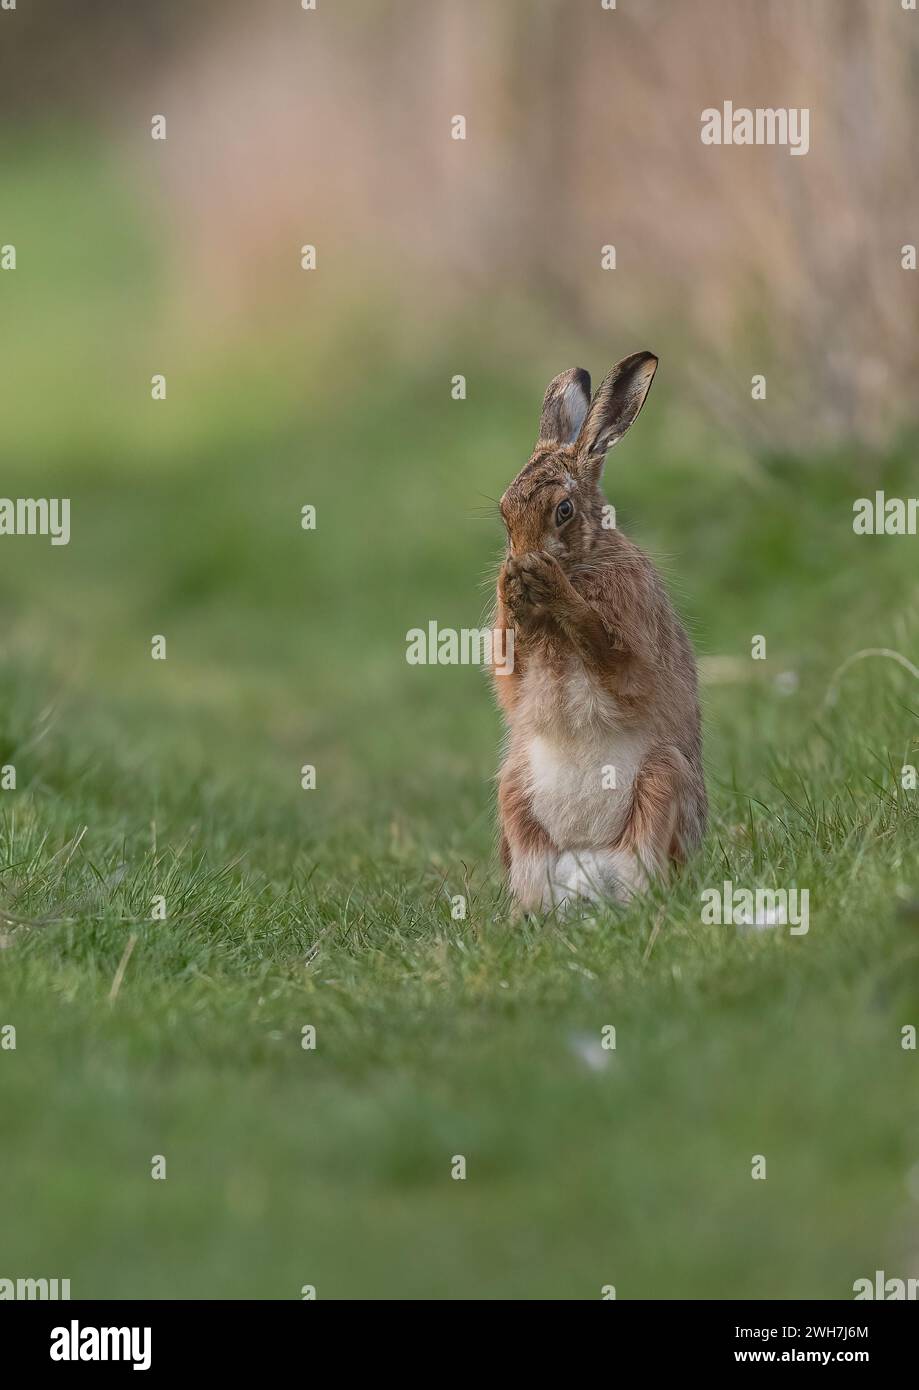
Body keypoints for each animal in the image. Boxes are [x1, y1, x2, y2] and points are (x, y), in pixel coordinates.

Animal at [492, 351, 706, 913]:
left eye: (563, 512)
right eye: (504, 513)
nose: (521, 561)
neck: (583, 561)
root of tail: (588, 873)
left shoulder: (633, 639)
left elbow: (612, 655)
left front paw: (552, 588)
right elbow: (509, 670)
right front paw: (513, 591)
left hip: (660, 781)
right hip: (514, 797)